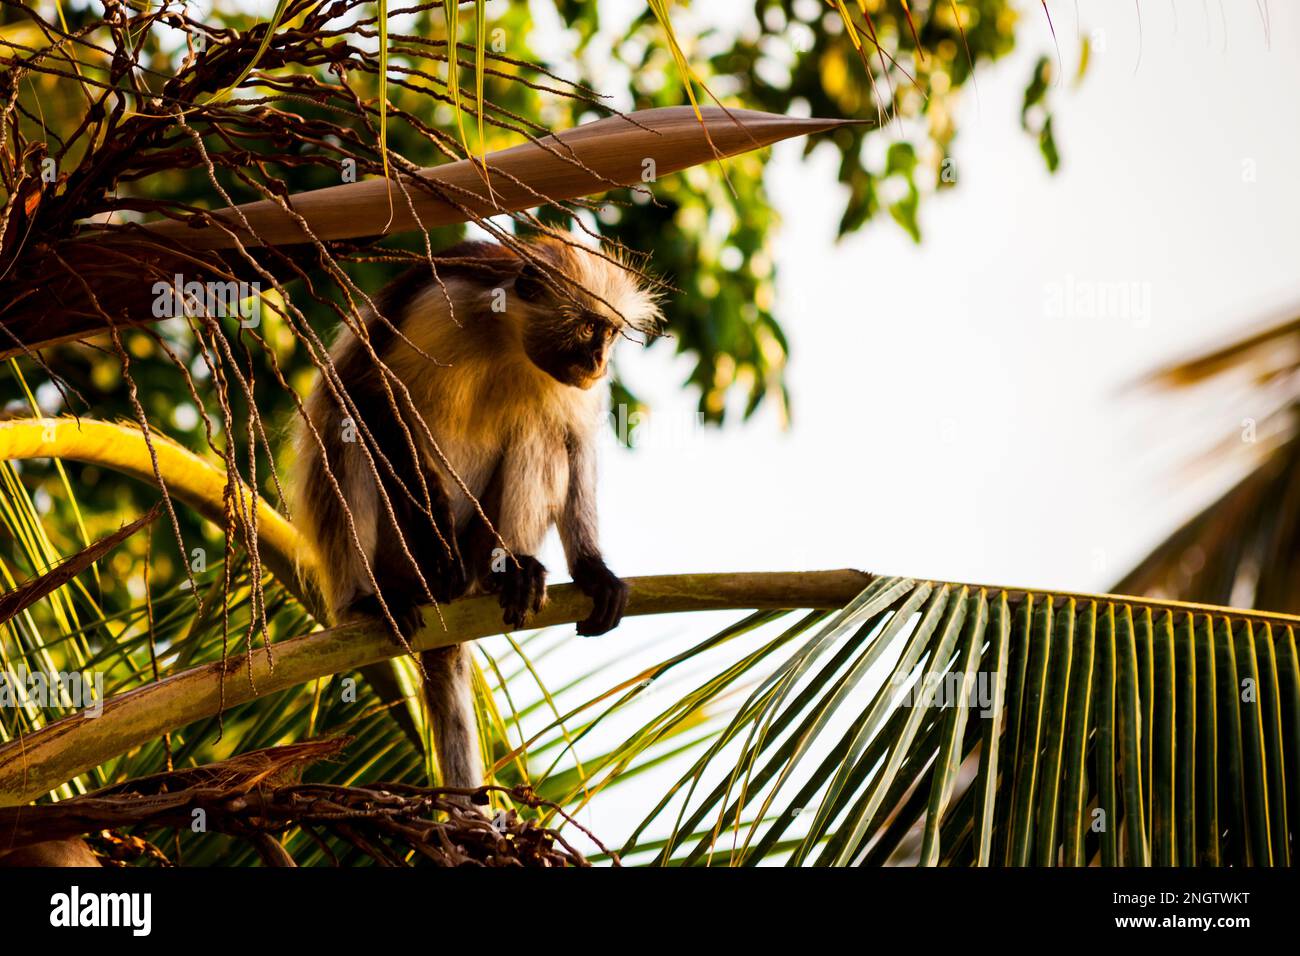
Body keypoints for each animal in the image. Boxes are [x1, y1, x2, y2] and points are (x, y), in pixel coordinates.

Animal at [291, 235, 662, 791]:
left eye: (611, 333)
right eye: (589, 328)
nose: (599, 359)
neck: (506, 337)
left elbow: (575, 442)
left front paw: (593, 571)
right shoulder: (441, 301)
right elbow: (368, 393)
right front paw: (434, 537)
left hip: (479, 545)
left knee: (541, 431)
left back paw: (509, 572)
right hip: (393, 556)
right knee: (347, 428)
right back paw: (369, 601)